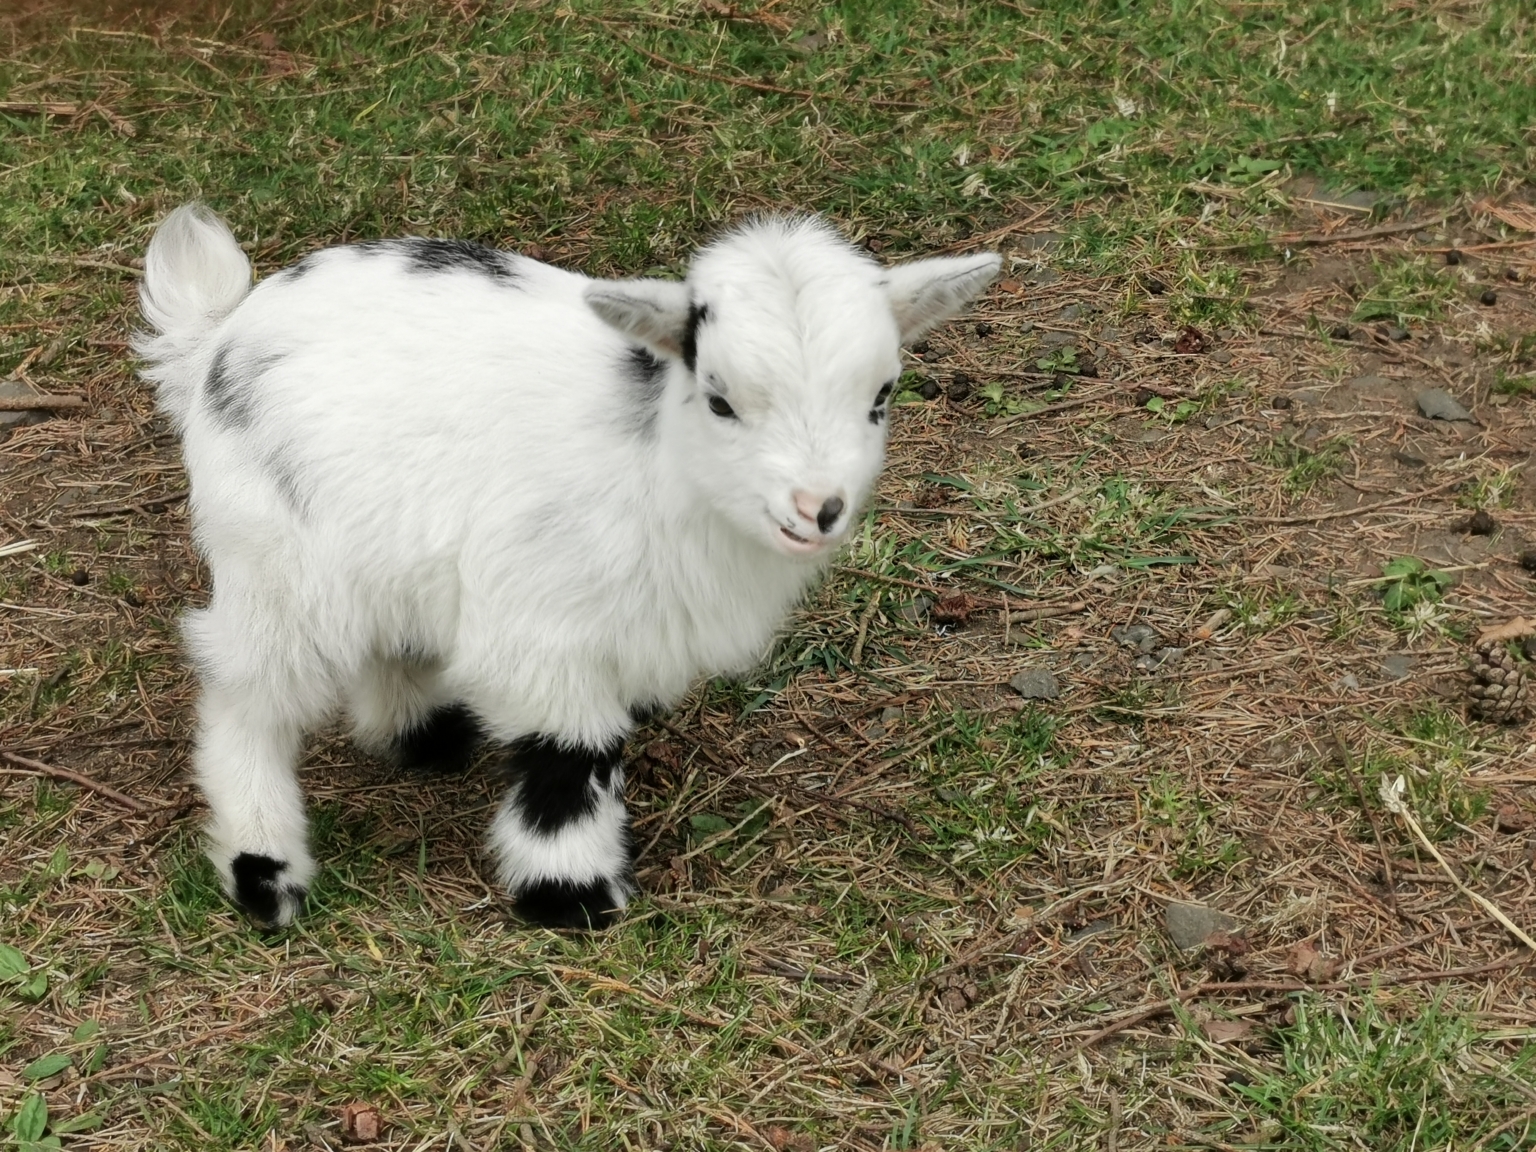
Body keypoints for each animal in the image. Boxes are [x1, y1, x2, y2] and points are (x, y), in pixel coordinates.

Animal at [135, 204, 998, 929]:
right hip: (275, 561)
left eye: (881, 395)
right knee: (248, 699)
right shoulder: (542, 625)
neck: (660, 469)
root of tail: (217, 339)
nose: (817, 508)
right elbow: (571, 754)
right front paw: (572, 895)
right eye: (720, 399)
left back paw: (424, 735)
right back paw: (264, 871)